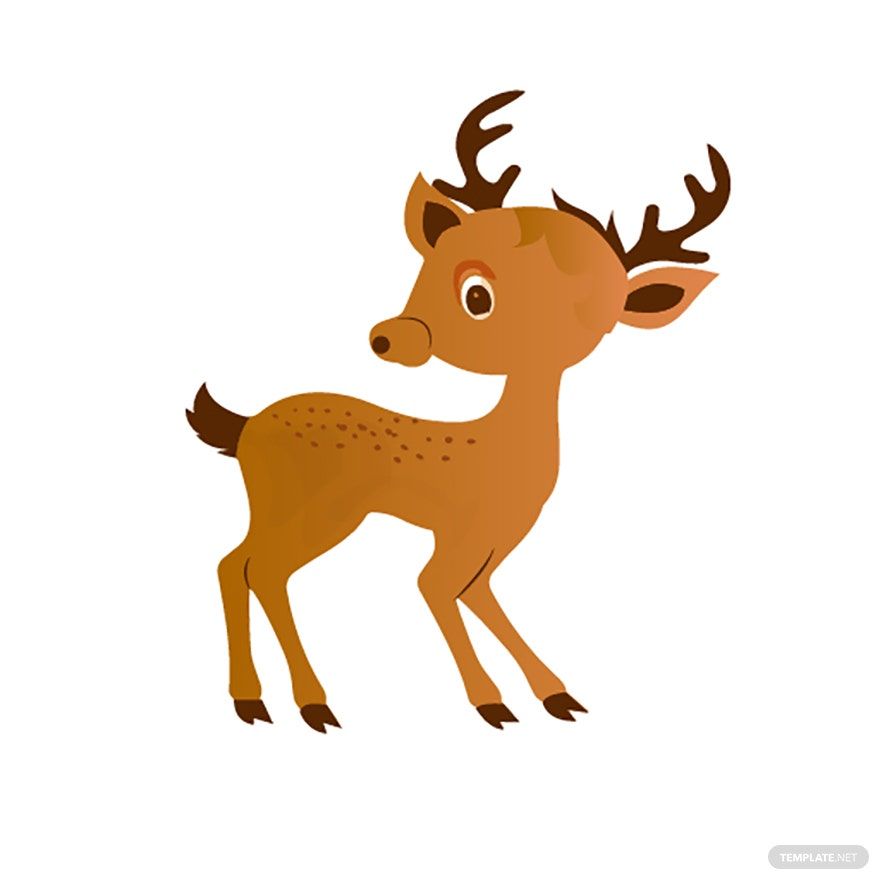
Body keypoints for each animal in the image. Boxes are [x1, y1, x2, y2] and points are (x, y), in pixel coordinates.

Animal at [187, 90, 730, 733]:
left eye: (477, 297)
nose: (389, 337)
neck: (502, 452)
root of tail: (245, 425)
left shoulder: (494, 544)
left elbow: (480, 599)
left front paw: (556, 694)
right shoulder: (462, 535)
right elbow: (436, 587)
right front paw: (491, 701)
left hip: (284, 511)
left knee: (236, 563)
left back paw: (259, 700)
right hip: (318, 511)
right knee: (260, 569)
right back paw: (306, 702)